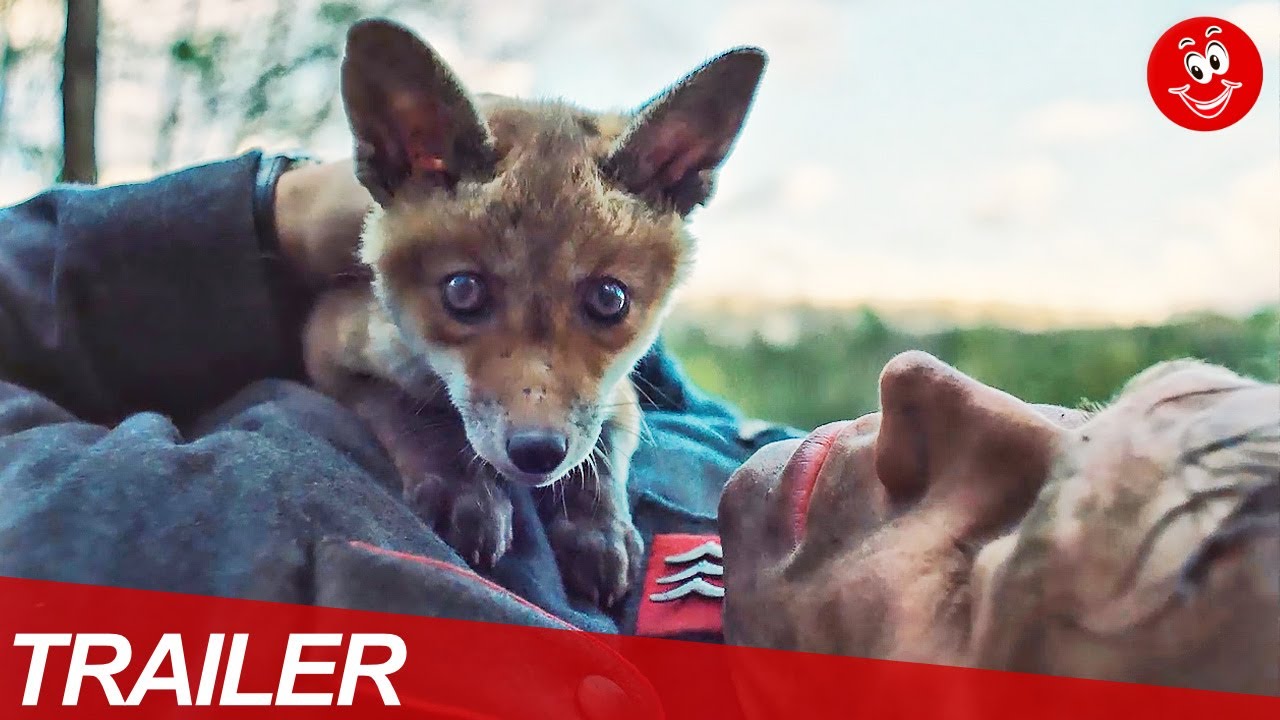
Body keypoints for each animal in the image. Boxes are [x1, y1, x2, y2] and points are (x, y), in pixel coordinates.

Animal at [302, 18, 765, 608]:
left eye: (610, 298)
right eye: (462, 290)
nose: (537, 452)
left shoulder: (618, 390)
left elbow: (602, 452)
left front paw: (597, 529)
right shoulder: (329, 341)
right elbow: (410, 410)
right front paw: (462, 487)